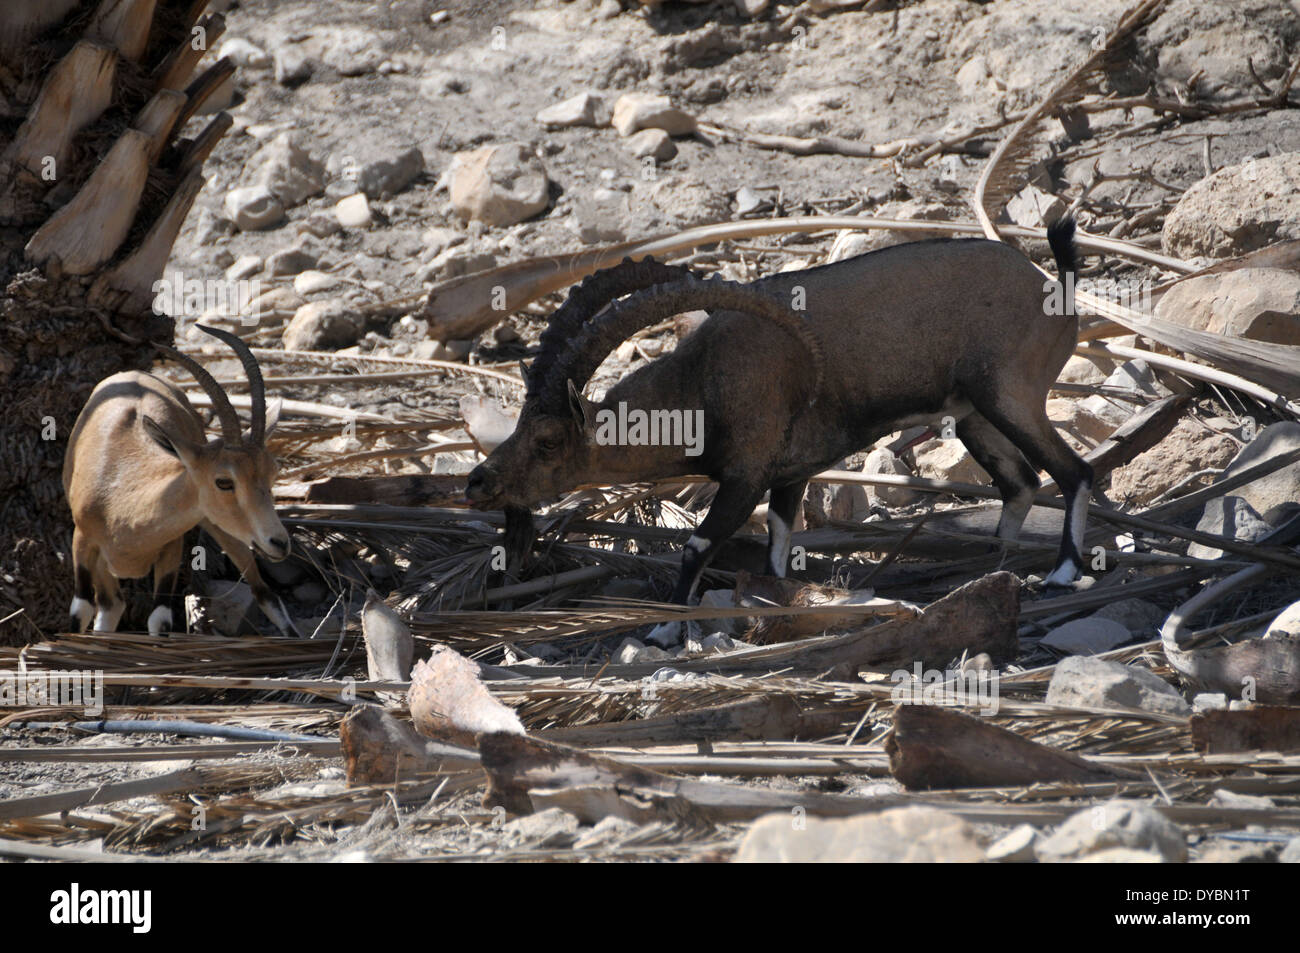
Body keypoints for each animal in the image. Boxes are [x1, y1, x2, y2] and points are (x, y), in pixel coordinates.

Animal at [63, 325, 294, 636]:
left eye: (273, 471)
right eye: (224, 481)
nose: (279, 542)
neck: (122, 504)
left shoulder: (171, 547)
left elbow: (159, 619)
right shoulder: (83, 540)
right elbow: (81, 611)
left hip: (221, 528)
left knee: (264, 592)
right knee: (111, 605)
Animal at [467, 221, 1091, 642]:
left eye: (548, 441)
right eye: (519, 424)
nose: (479, 484)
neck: (704, 382)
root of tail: (1053, 289)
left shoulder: (747, 473)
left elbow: (696, 546)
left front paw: (665, 629)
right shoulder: (791, 474)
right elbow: (776, 548)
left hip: (1010, 396)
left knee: (1073, 471)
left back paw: (1061, 573)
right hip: (974, 417)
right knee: (1020, 483)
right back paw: (993, 568)